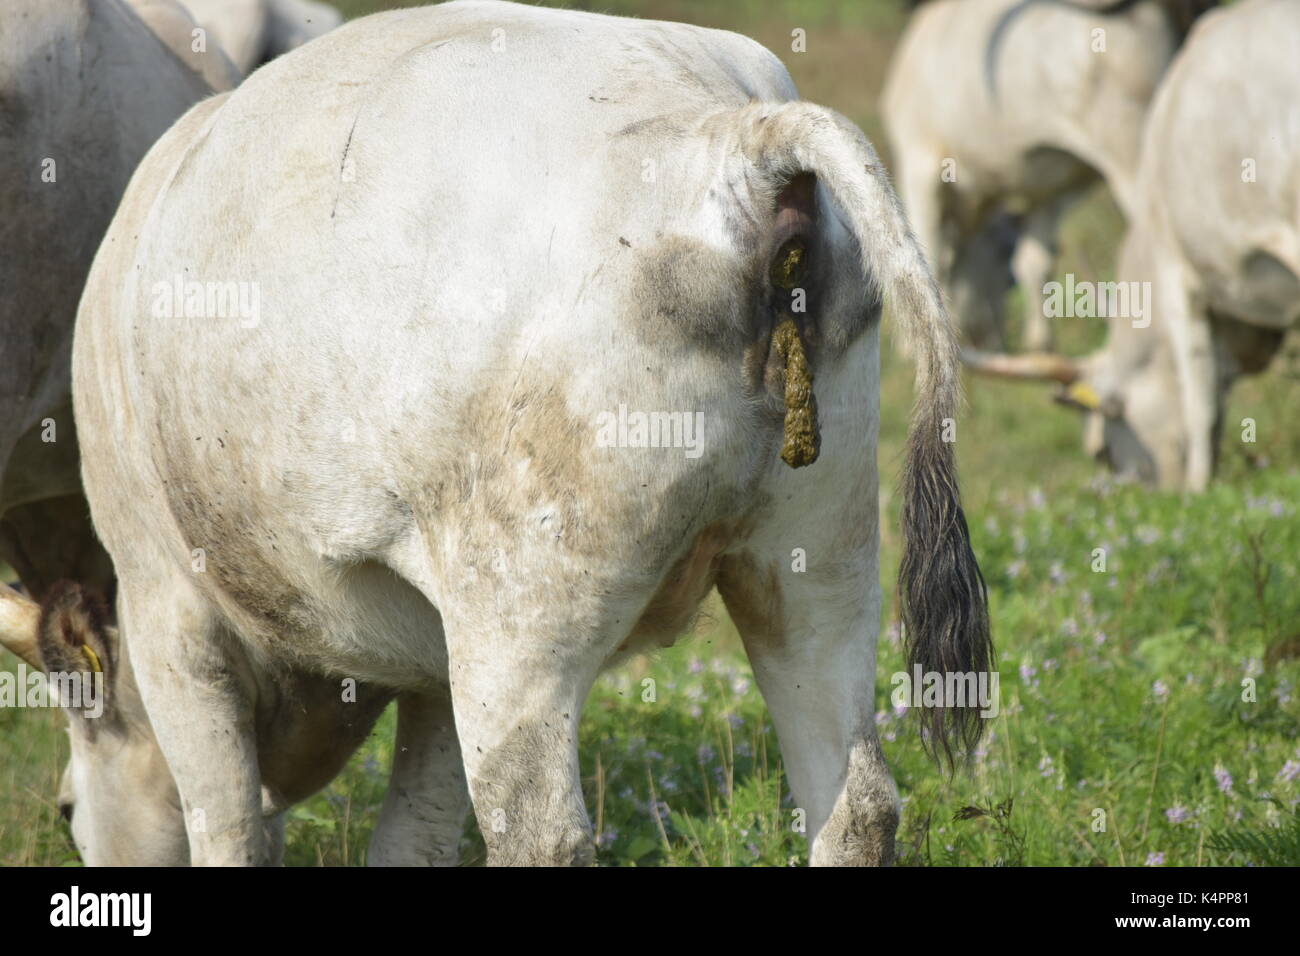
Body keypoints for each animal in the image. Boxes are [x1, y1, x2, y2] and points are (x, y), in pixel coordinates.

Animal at [881, 0, 1215, 352]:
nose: (989, 341)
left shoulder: (920, 163)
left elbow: (927, 256)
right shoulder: (1052, 188)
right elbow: (1033, 263)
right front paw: (1039, 344)